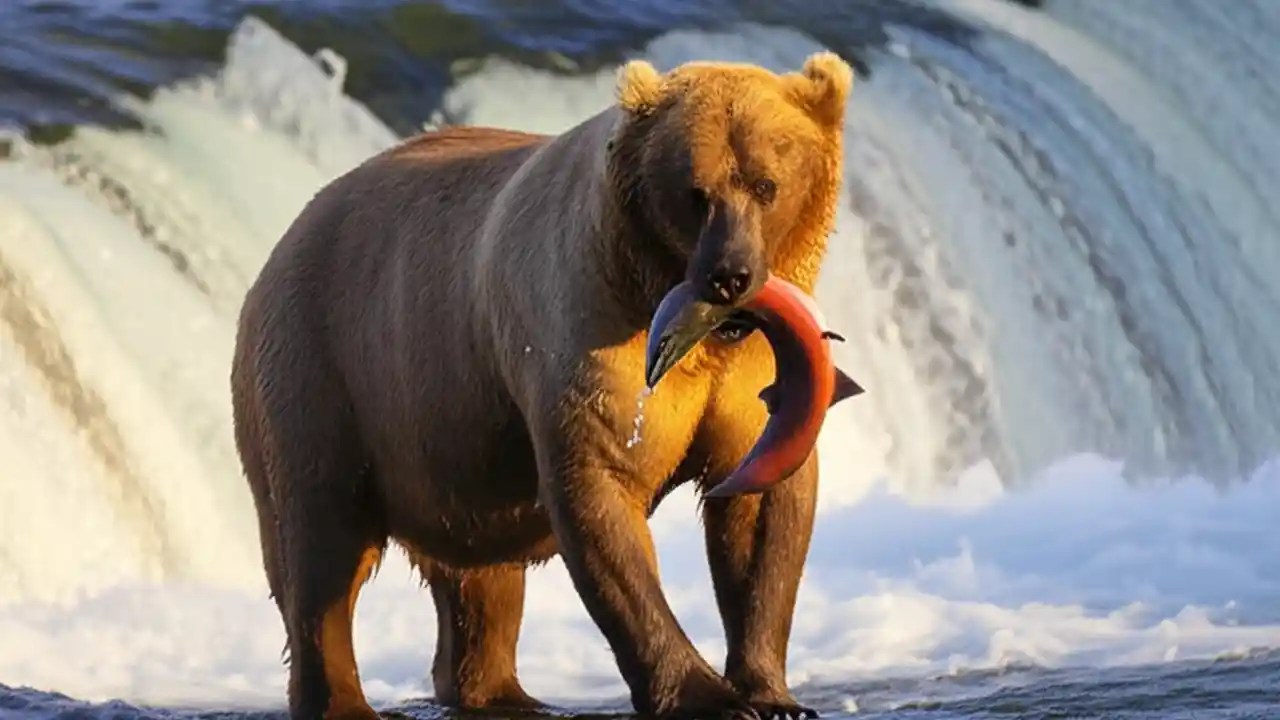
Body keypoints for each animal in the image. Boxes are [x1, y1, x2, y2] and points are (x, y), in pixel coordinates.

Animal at [230, 50, 852, 720]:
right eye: (694, 192)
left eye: (766, 184)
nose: (729, 275)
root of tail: (285, 237)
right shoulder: (590, 332)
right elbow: (604, 493)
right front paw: (705, 694)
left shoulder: (756, 375)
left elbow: (761, 509)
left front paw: (771, 692)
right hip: (325, 371)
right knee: (320, 545)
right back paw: (343, 698)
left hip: (454, 439)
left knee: (480, 575)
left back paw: (501, 690)